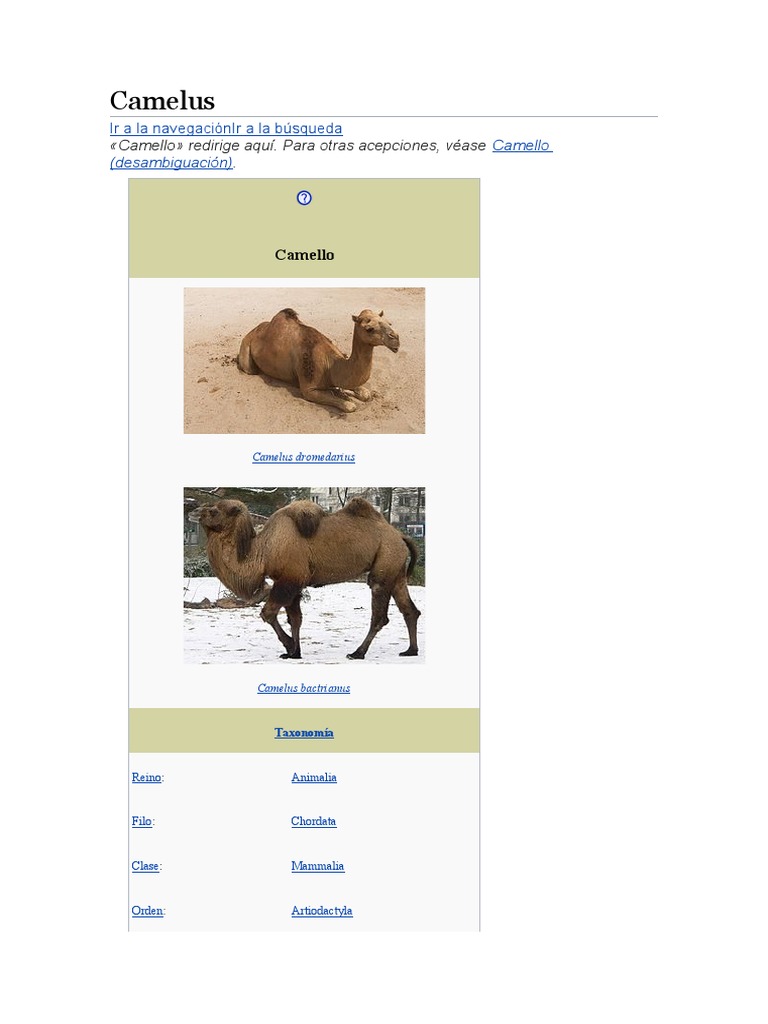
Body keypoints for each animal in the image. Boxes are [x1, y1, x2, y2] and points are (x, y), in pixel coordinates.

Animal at [195, 497, 421, 660]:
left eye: (214, 511)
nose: (194, 512)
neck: (264, 550)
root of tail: (400, 536)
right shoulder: (291, 582)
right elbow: (295, 619)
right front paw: (294, 653)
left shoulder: (289, 580)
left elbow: (268, 614)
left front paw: (289, 646)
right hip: (396, 572)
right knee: (410, 609)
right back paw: (411, 650)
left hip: (384, 567)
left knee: (379, 613)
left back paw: (357, 653)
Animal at [237, 308, 400, 413]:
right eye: (369, 328)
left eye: (389, 323)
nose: (396, 339)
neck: (331, 365)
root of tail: (255, 329)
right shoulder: (308, 389)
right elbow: (350, 406)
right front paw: (343, 395)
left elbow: (365, 394)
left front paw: (346, 391)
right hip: (246, 350)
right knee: (250, 369)